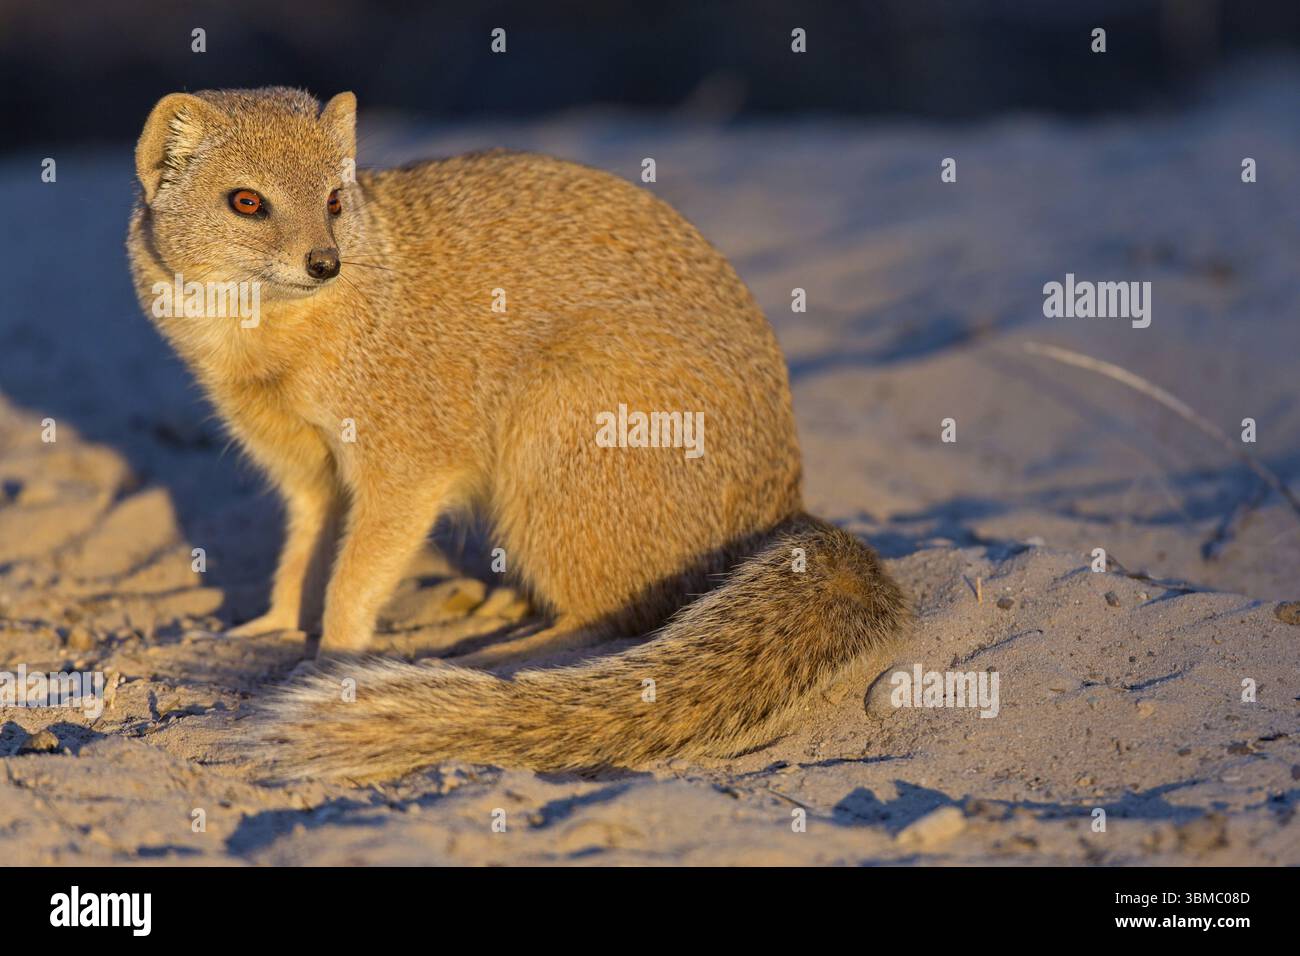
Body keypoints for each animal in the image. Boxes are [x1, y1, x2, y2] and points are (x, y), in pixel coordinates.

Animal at [126, 87, 909, 782]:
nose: (324, 261)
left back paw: (493, 658)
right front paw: (270, 627)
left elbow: (354, 578)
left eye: (335, 200)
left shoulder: (408, 454)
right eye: (246, 201)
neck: (266, 356)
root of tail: (785, 502)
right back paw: (496, 603)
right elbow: (301, 554)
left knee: (611, 614)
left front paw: (332, 661)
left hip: (560, 414)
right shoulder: (300, 464)